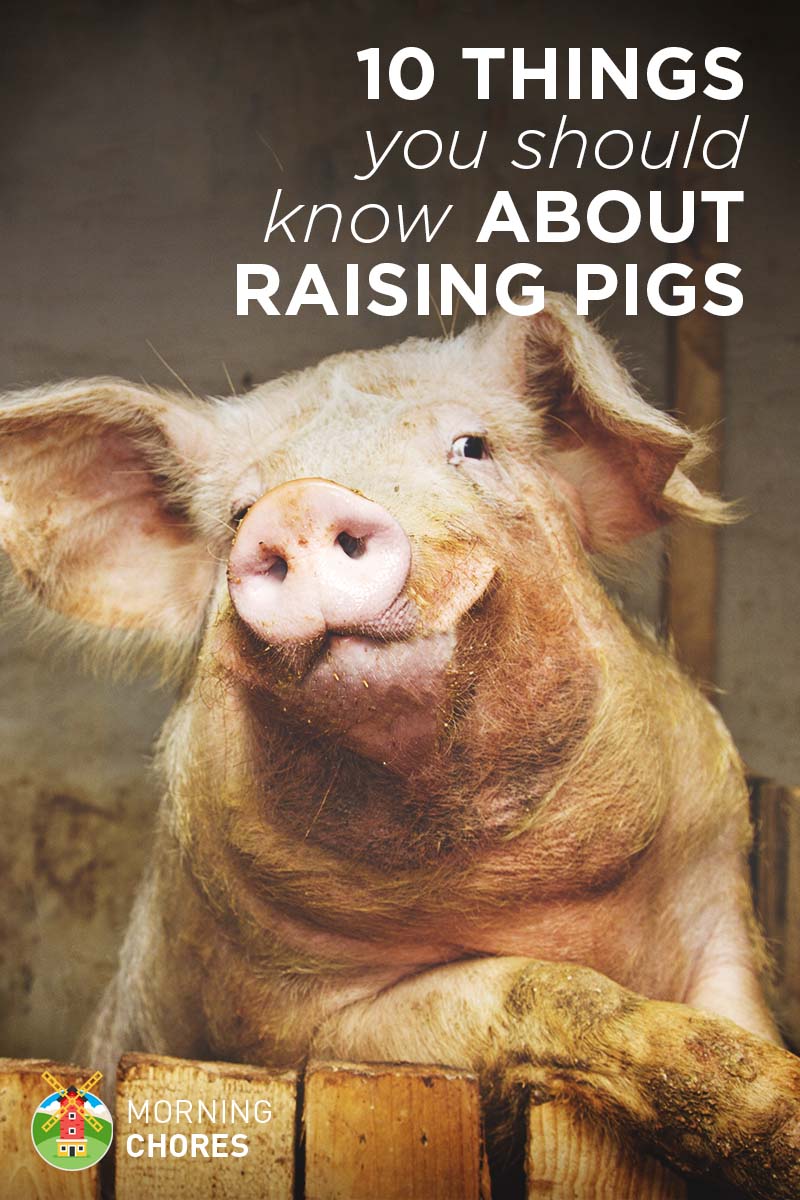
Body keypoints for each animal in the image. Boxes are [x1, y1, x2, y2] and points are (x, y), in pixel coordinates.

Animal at [1, 295, 798, 1197]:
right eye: (237, 513)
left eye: (472, 447)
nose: (298, 504)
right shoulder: (277, 1025)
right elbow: (537, 989)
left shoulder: (717, 889)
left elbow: (734, 1024)